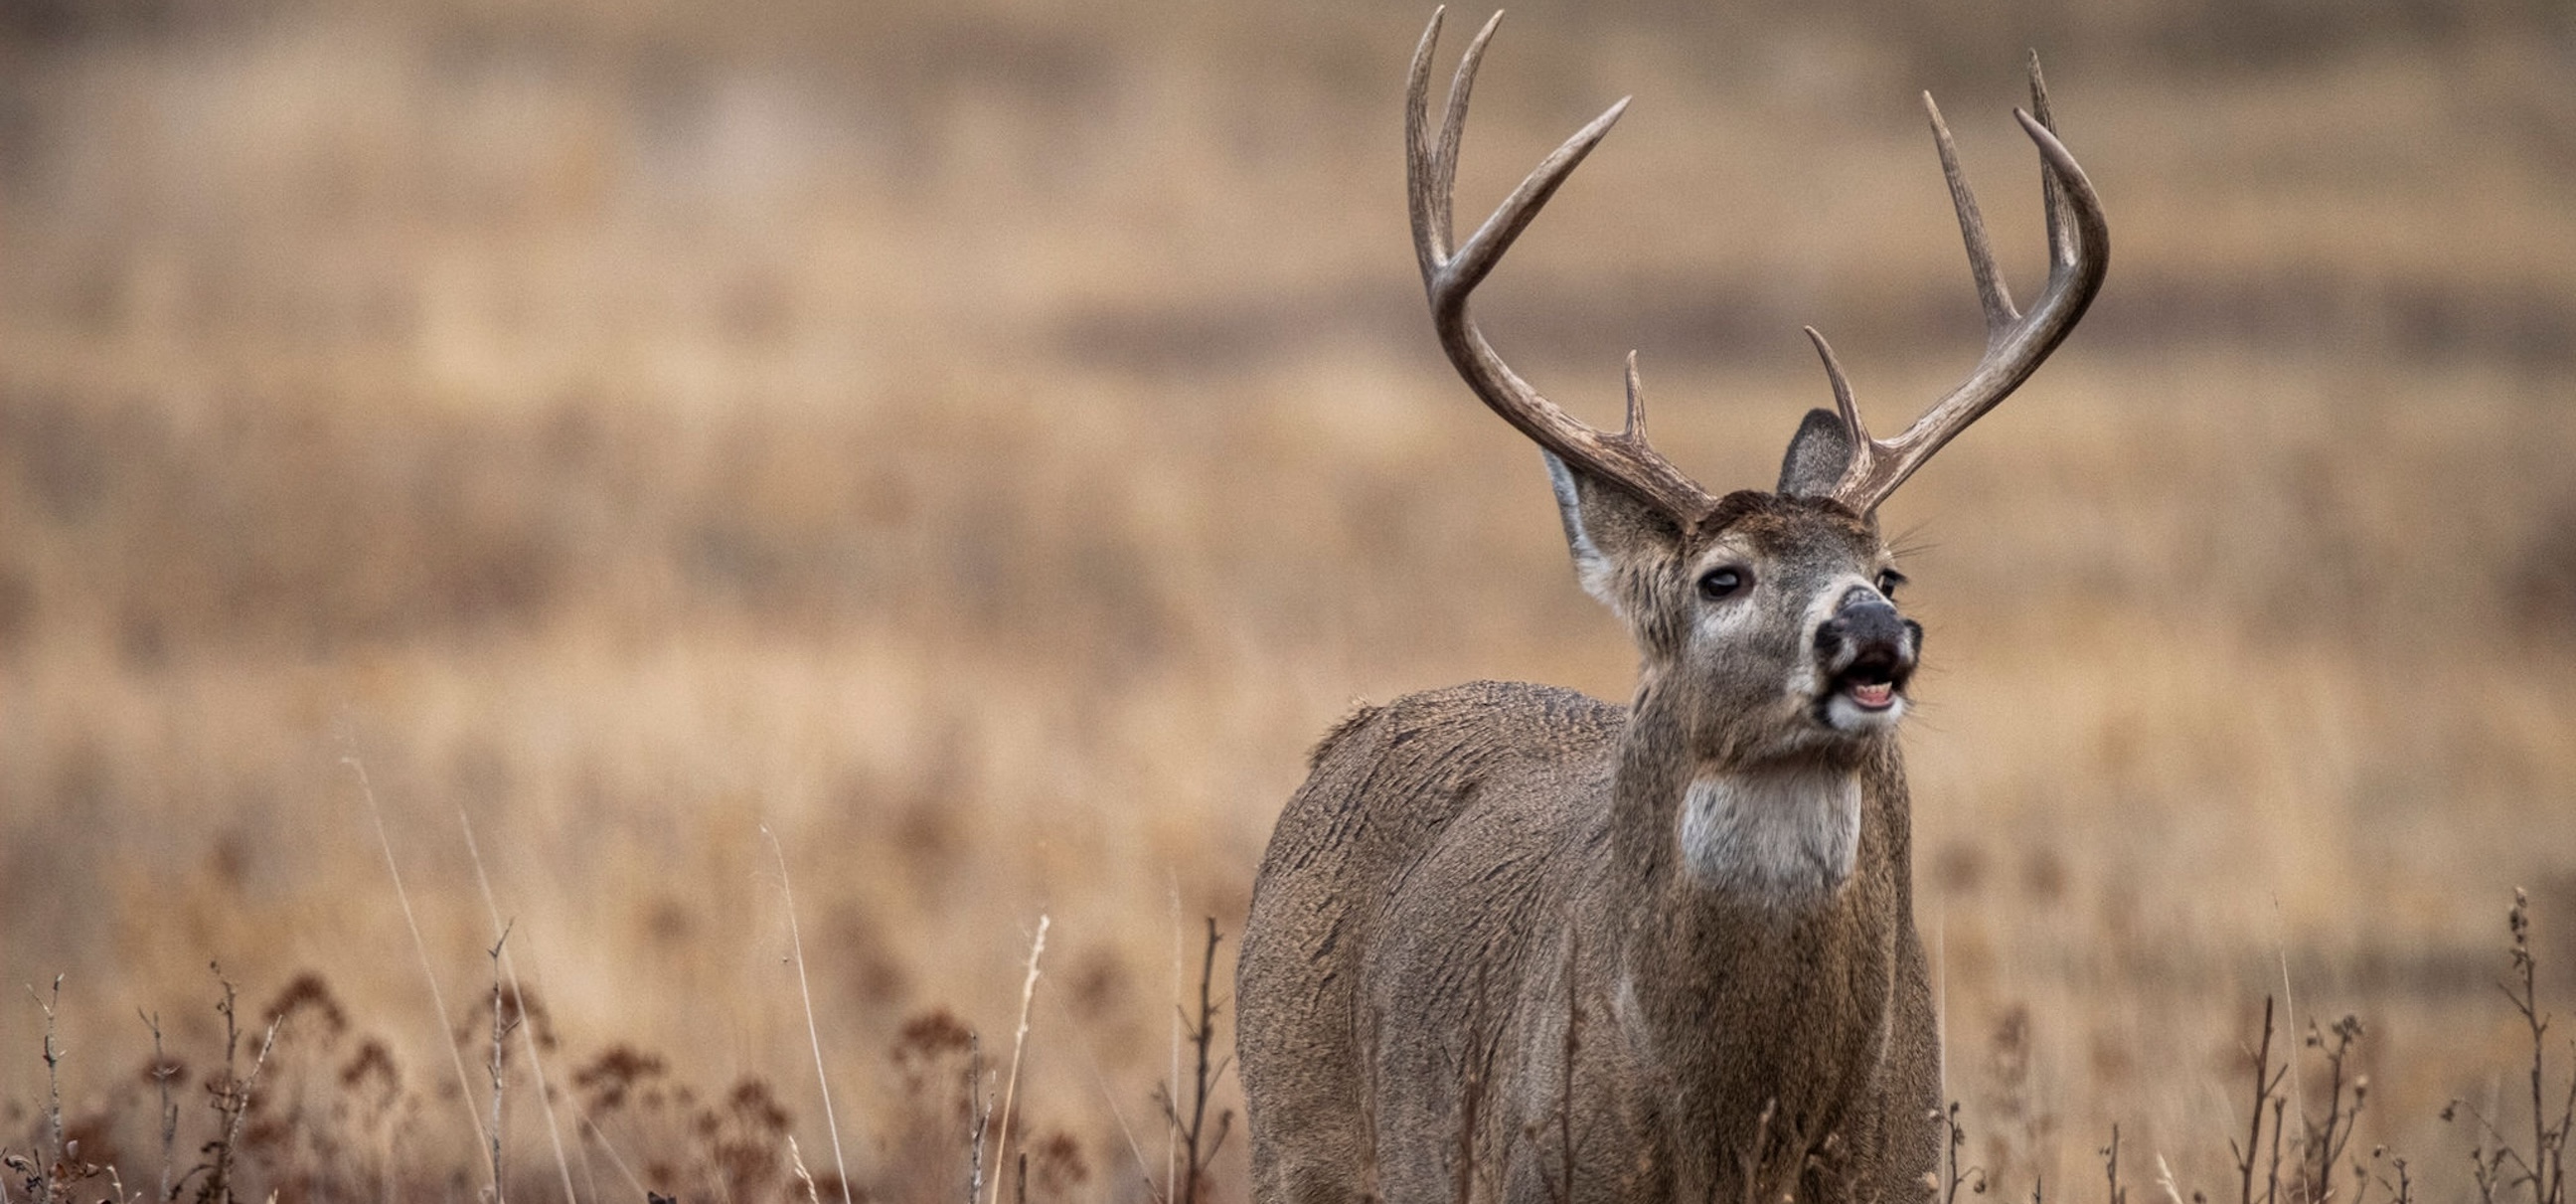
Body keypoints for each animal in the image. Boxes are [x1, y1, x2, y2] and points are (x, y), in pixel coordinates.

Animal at [1236, 10, 2108, 1204]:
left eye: (1888, 573)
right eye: (1722, 576)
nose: (1874, 635)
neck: (1742, 1132)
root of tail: (1346, 737)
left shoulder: (1906, 1168)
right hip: (1295, 1135)